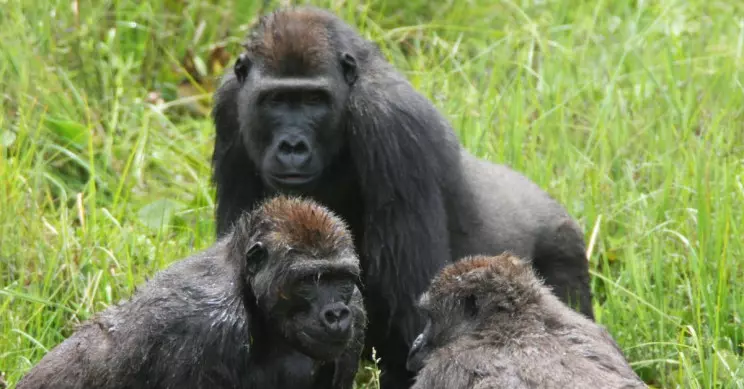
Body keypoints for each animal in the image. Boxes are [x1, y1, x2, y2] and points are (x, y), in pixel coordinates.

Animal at [209, 6, 592, 388]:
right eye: (275, 100)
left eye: (314, 101)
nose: (292, 146)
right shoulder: (230, 106)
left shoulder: (392, 125)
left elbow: (414, 309)